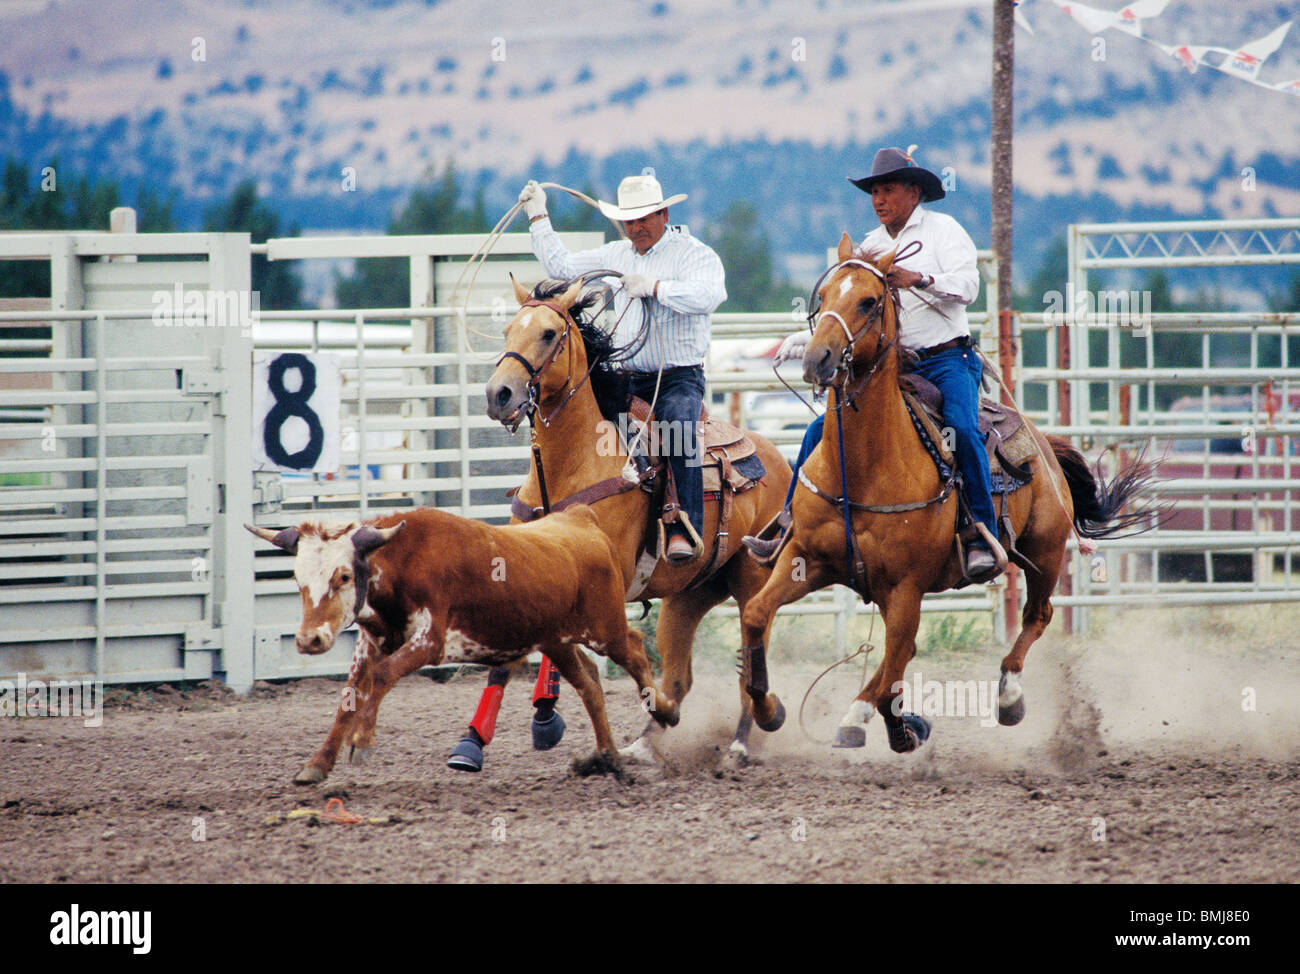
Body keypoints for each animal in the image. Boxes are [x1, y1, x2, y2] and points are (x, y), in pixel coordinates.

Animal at [245, 505, 676, 784]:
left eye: (344, 576)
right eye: (298, 580)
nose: (309, 639)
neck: (403, 561)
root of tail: (581, 519)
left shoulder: (429, 640)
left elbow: (383, 677)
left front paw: (362, 742)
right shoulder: (371, 641)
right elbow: (350, 695)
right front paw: (318, 764)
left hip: (605, 628)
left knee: (635, 649)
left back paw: (666, 711)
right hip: (555, 639)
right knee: (589, 682)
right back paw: (607, 758)